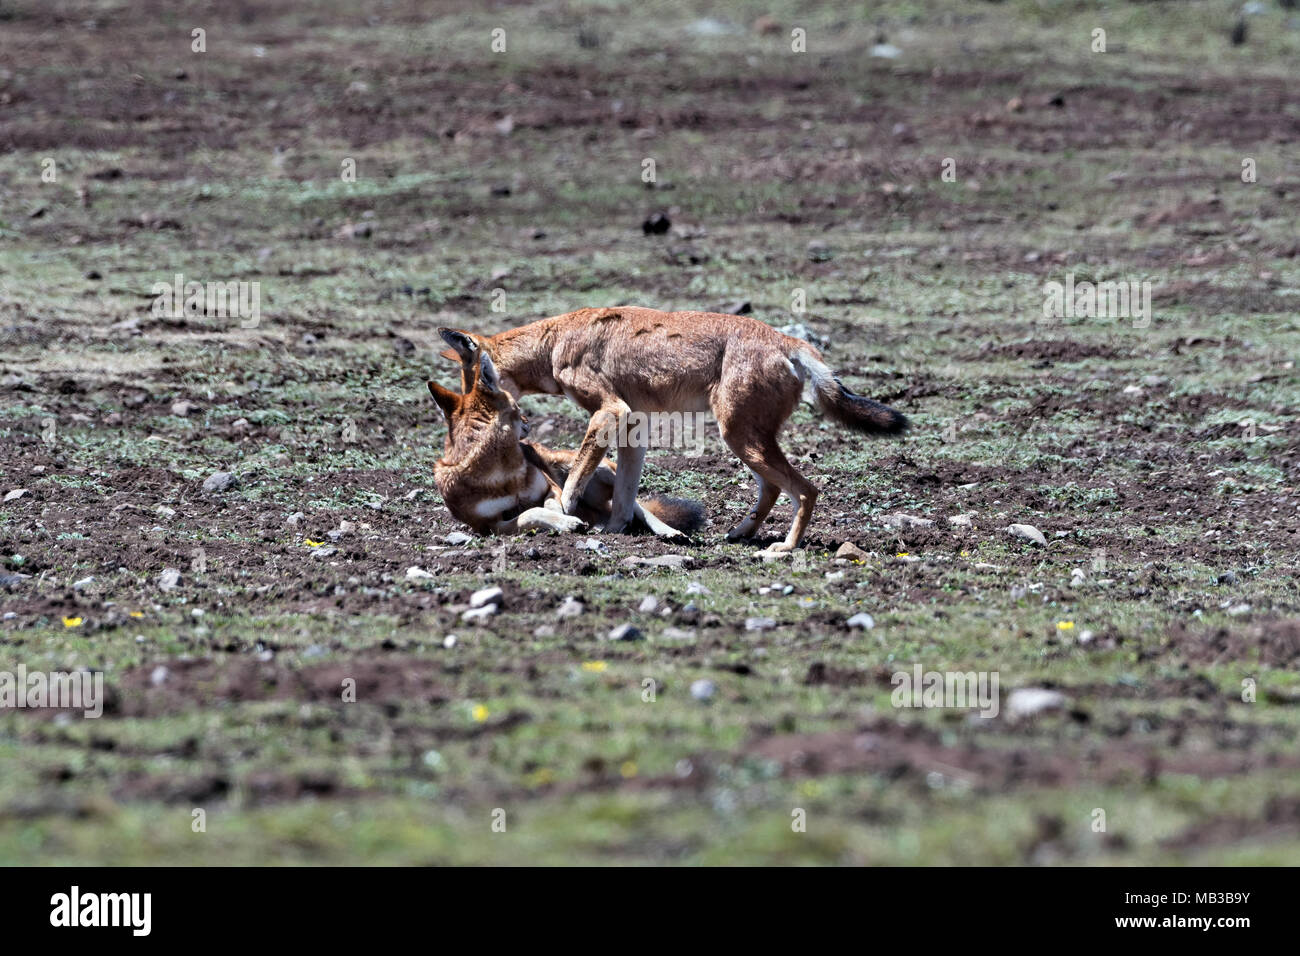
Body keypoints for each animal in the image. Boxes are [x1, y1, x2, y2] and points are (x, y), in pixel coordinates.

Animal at [428, 348, 707, 538]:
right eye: (518, 406)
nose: (529, 420)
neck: (503, 473)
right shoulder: (489, 526)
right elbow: (530, 513)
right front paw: (565, 521)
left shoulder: (551, 488)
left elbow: (551, 504)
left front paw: (564, 517)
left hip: (596, 469)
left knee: (635, 506)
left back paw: (668, 531)